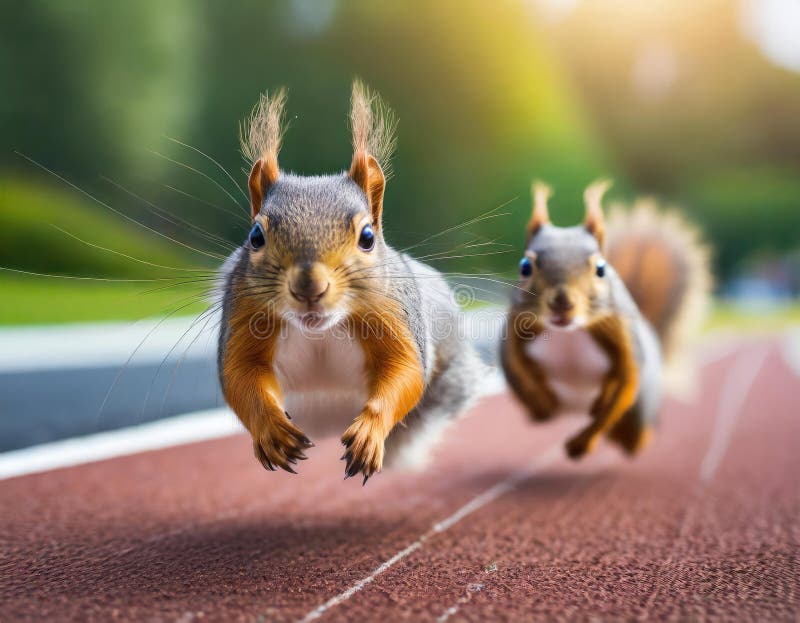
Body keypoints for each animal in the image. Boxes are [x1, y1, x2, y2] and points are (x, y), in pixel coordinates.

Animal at [217, 82, 484, 484]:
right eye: (256, 236)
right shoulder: (245, 311)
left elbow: (405, 372)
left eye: (368, 237)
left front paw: (369, 435)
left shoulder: (392, 313)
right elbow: (239, 373)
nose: (309, 287)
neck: (319, 331)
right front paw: (272, 431)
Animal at [500, 181, 711, 459]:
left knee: (634, 434)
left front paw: (581, 443)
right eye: (525, 266)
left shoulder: (622, 337)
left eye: (601, 269)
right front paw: (543, 403)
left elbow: (623, 387)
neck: (569, 333)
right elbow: (516, 369)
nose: (562, 303)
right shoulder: (515, 329)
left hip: (641, 410)